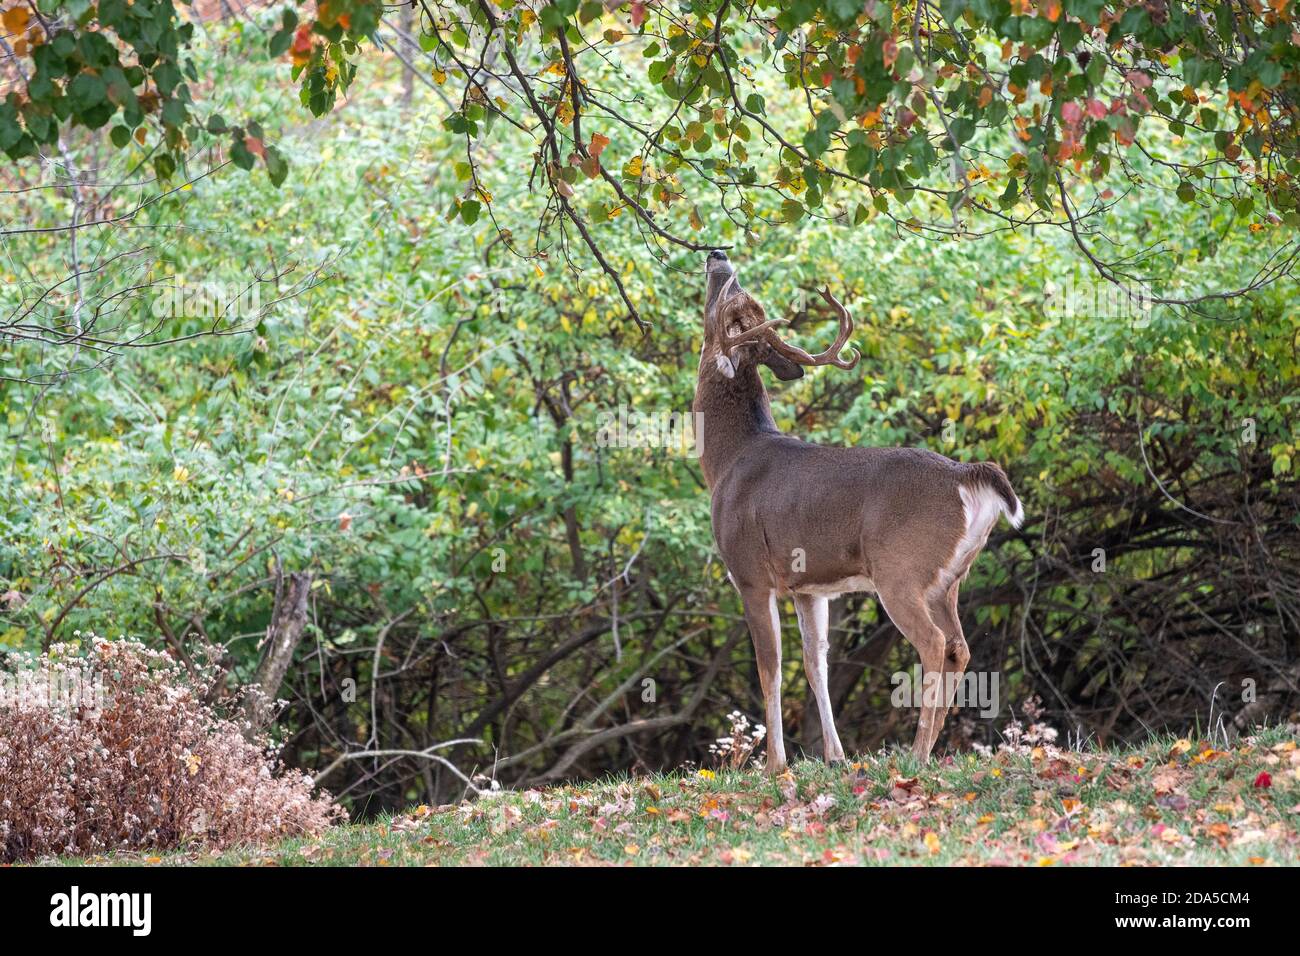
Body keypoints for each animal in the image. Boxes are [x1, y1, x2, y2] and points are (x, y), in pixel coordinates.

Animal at [692, 249, 1023, 774]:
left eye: (730, 315)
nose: (718, 255)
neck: (727, 460)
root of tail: (968, 475)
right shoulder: (809, 586)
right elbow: (815, 663)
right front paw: (835, 756)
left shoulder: (749, 573)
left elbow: (771, 667)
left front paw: (775, 765)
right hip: (949, 579)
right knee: (960, 646)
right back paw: (929, 748)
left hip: (900, 568)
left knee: (935, 644)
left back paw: (916, 754)